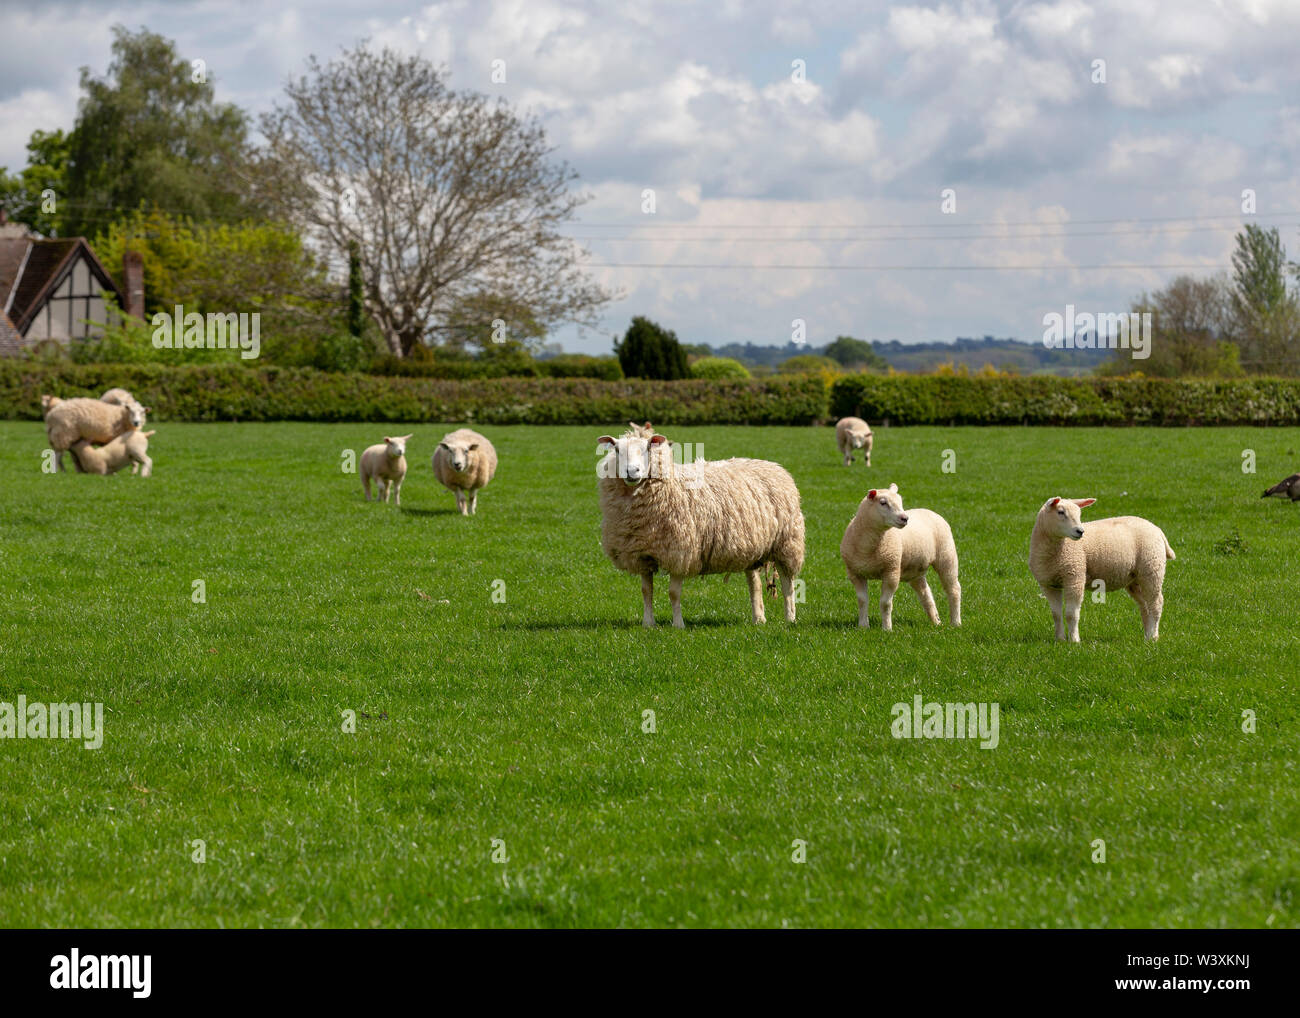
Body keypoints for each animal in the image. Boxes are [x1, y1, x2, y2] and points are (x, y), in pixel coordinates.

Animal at [596, 428, 805, 628]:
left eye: (648, 448)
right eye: (617, 450)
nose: (632, 471)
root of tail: (773, 465)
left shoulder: (680, 553)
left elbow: (673, 593)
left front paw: (678, 625)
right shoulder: (642, 555)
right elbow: (646, 591)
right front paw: (648, 624)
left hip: (787, 543)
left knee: (787, 584)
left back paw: (790, 619)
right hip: (752, 546)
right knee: (755, 584)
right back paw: (758, 619)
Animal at [840, 483, 960, 631]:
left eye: (900, 502)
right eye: (883, 503)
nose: (905, 518)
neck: (867, 549)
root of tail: (929, 511)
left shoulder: (892, 570)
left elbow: (885, 603)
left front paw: (887, 628)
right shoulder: (855, 574)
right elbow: (862, 601)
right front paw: (863, 627)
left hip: (947, 556)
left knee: (953, 589)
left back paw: (956, 622)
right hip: (916, 571)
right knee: (925, 595)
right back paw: (936, 622)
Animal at [1029, 497, 1175, 642]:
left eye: (1079, 514)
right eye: (1060, 512)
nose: (1080, 531)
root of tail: (1156, 528)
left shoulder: (1075, 577)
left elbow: (1071, 614)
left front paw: (1074, 640)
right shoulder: (1048, 584)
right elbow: (1056, 614)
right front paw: (1060, 640)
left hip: (1152, 569)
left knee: (1156, 603)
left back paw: (1153, 636)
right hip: (1135, 579)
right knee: (1144, 606)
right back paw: (1147, 635)